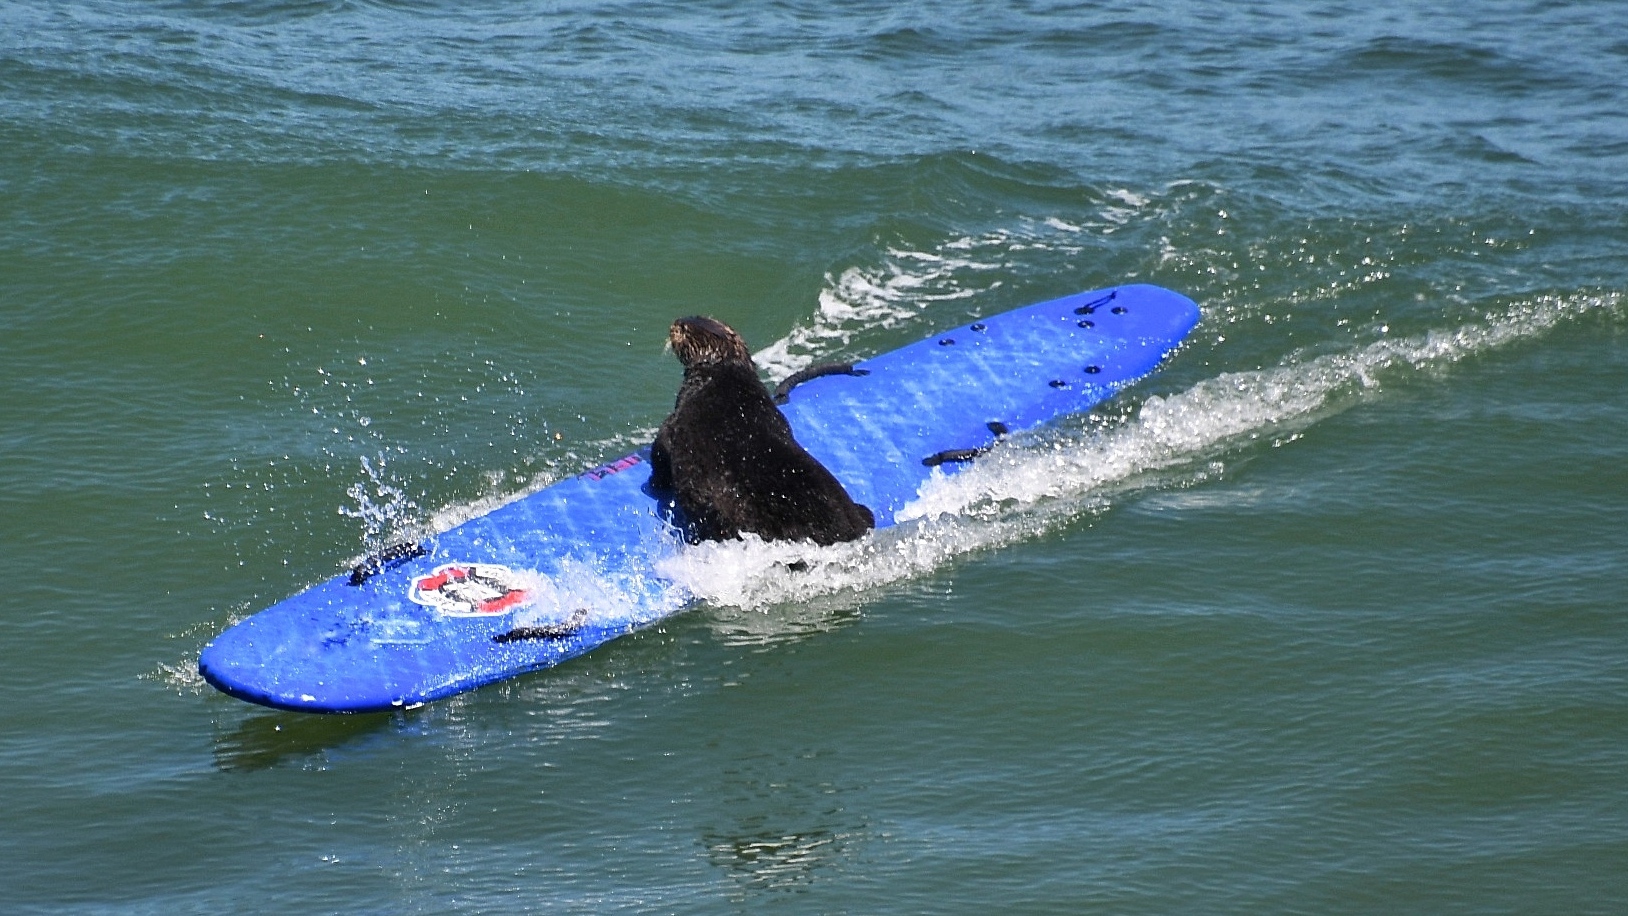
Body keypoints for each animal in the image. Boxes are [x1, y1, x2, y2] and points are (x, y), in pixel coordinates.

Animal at [649, 316, 874, 546]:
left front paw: (655, 483)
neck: (724, 373)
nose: (676, 322)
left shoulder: (679, 413)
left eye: (683, 327)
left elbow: (661, 446)